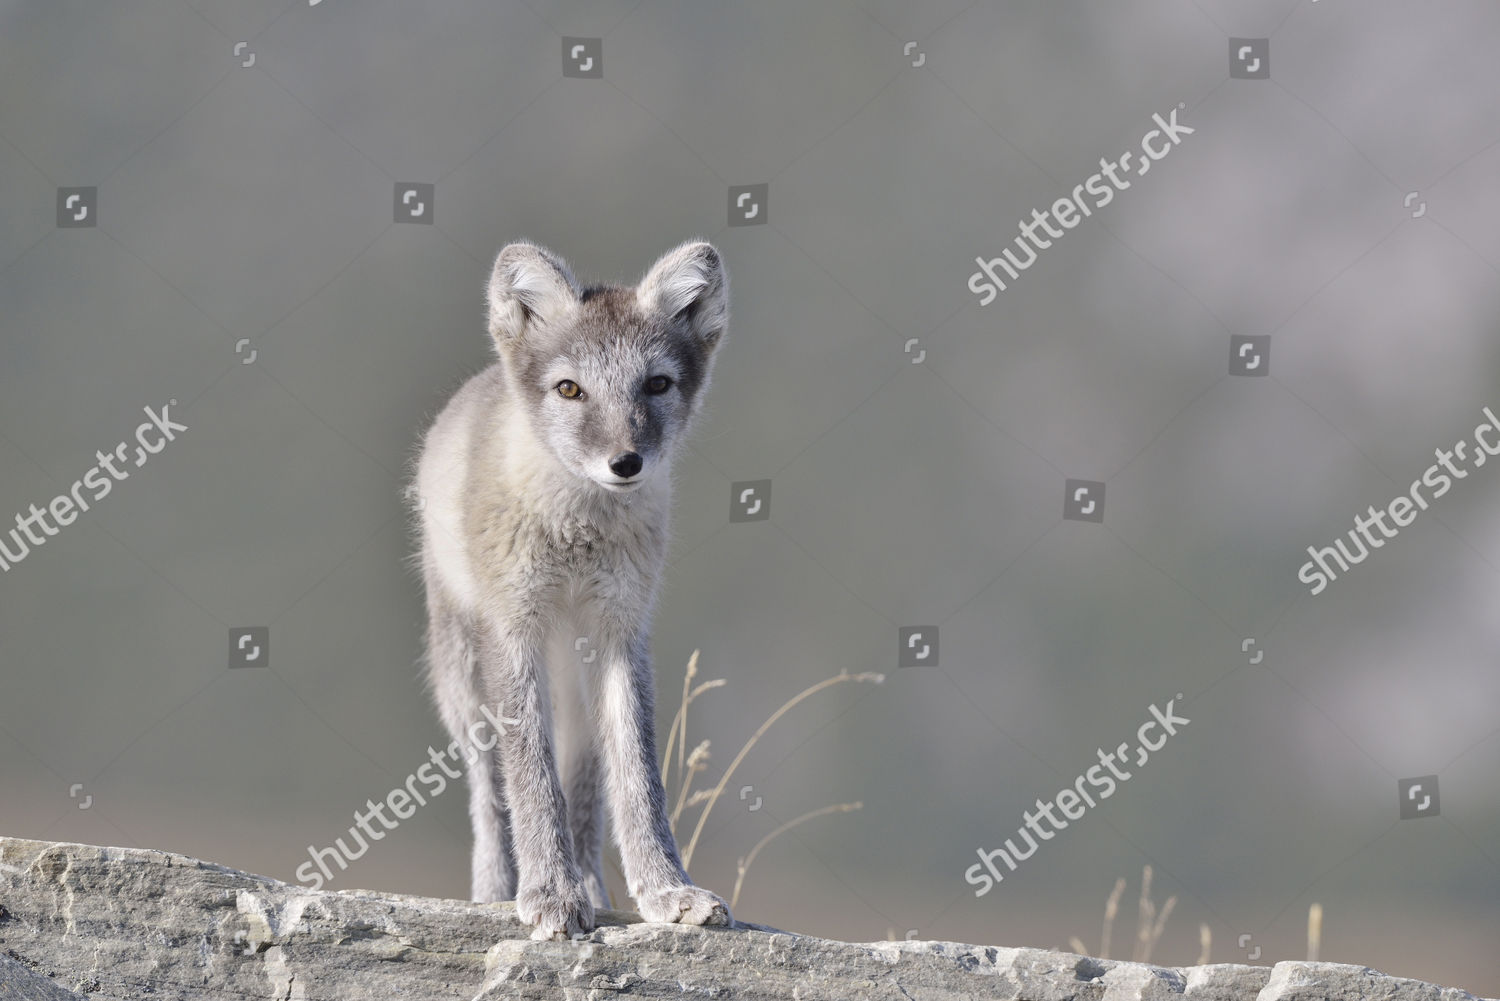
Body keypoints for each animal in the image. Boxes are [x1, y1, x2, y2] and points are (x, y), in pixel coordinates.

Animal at [410, 239, 733, 940]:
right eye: (569, 389)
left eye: (656, 384)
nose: (624, 463)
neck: (577, 532)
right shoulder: (514, 631)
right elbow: (531, 778)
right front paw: (548, 895)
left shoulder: (619, 634)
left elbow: (637, 777)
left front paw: (667, 891)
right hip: (464, 675)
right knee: (489, 792)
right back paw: (497, 891)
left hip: (576, 686)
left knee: (586, 789)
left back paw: (591, 883)